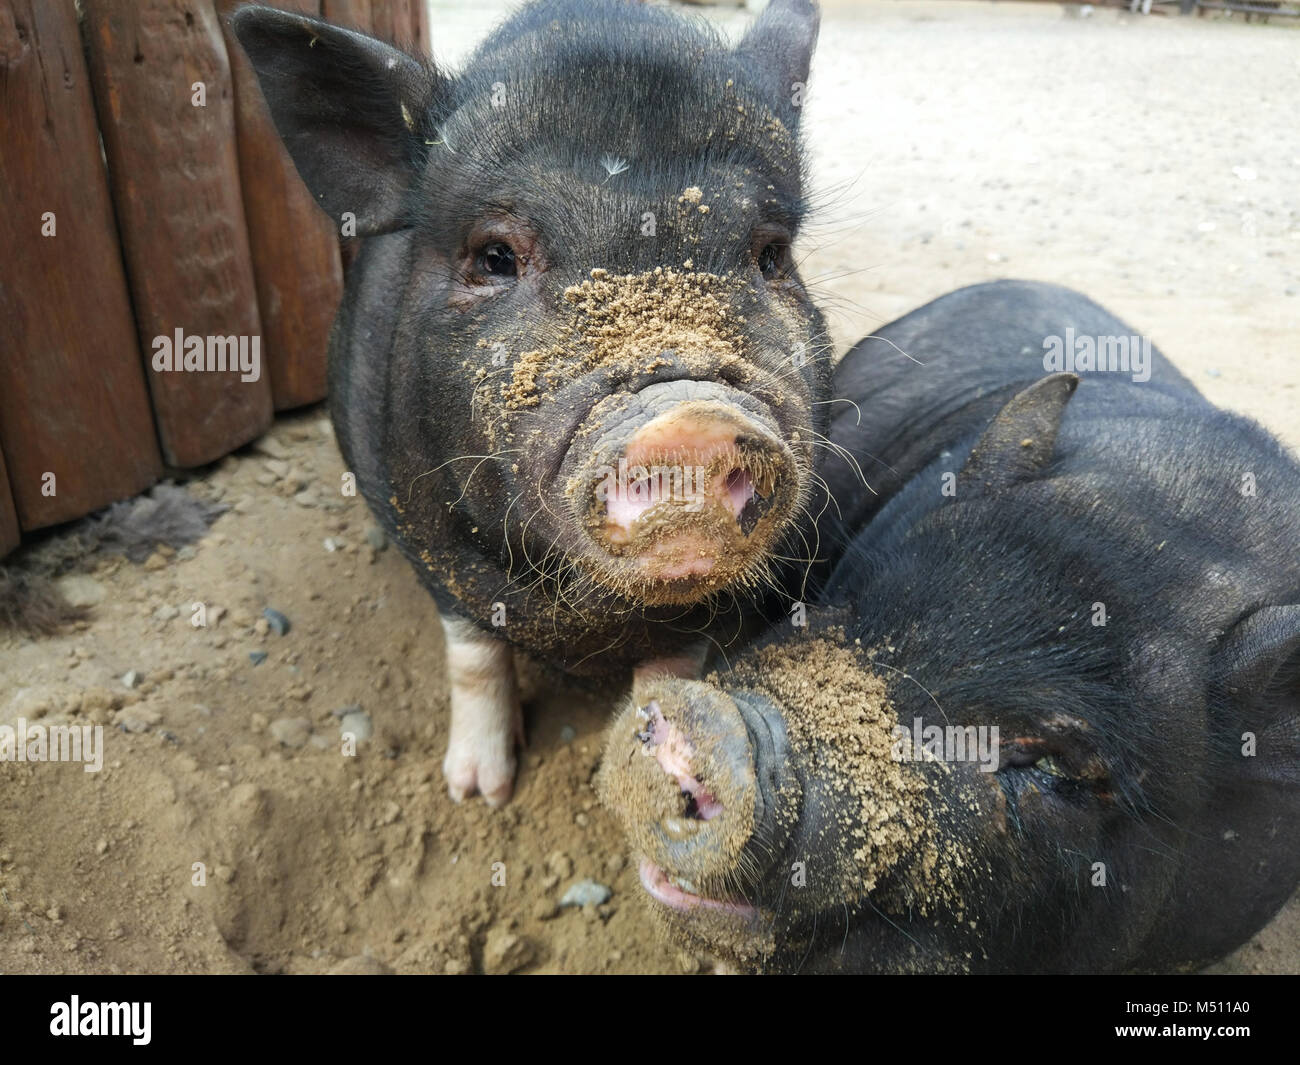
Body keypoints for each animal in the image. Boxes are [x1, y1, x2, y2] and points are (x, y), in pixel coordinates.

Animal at [230, 0, 832, 804]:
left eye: (772, 255)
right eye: (495, 256)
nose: (692, 415)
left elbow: (667, 675)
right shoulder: (427, 539)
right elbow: (473, 653)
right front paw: (478, 792)